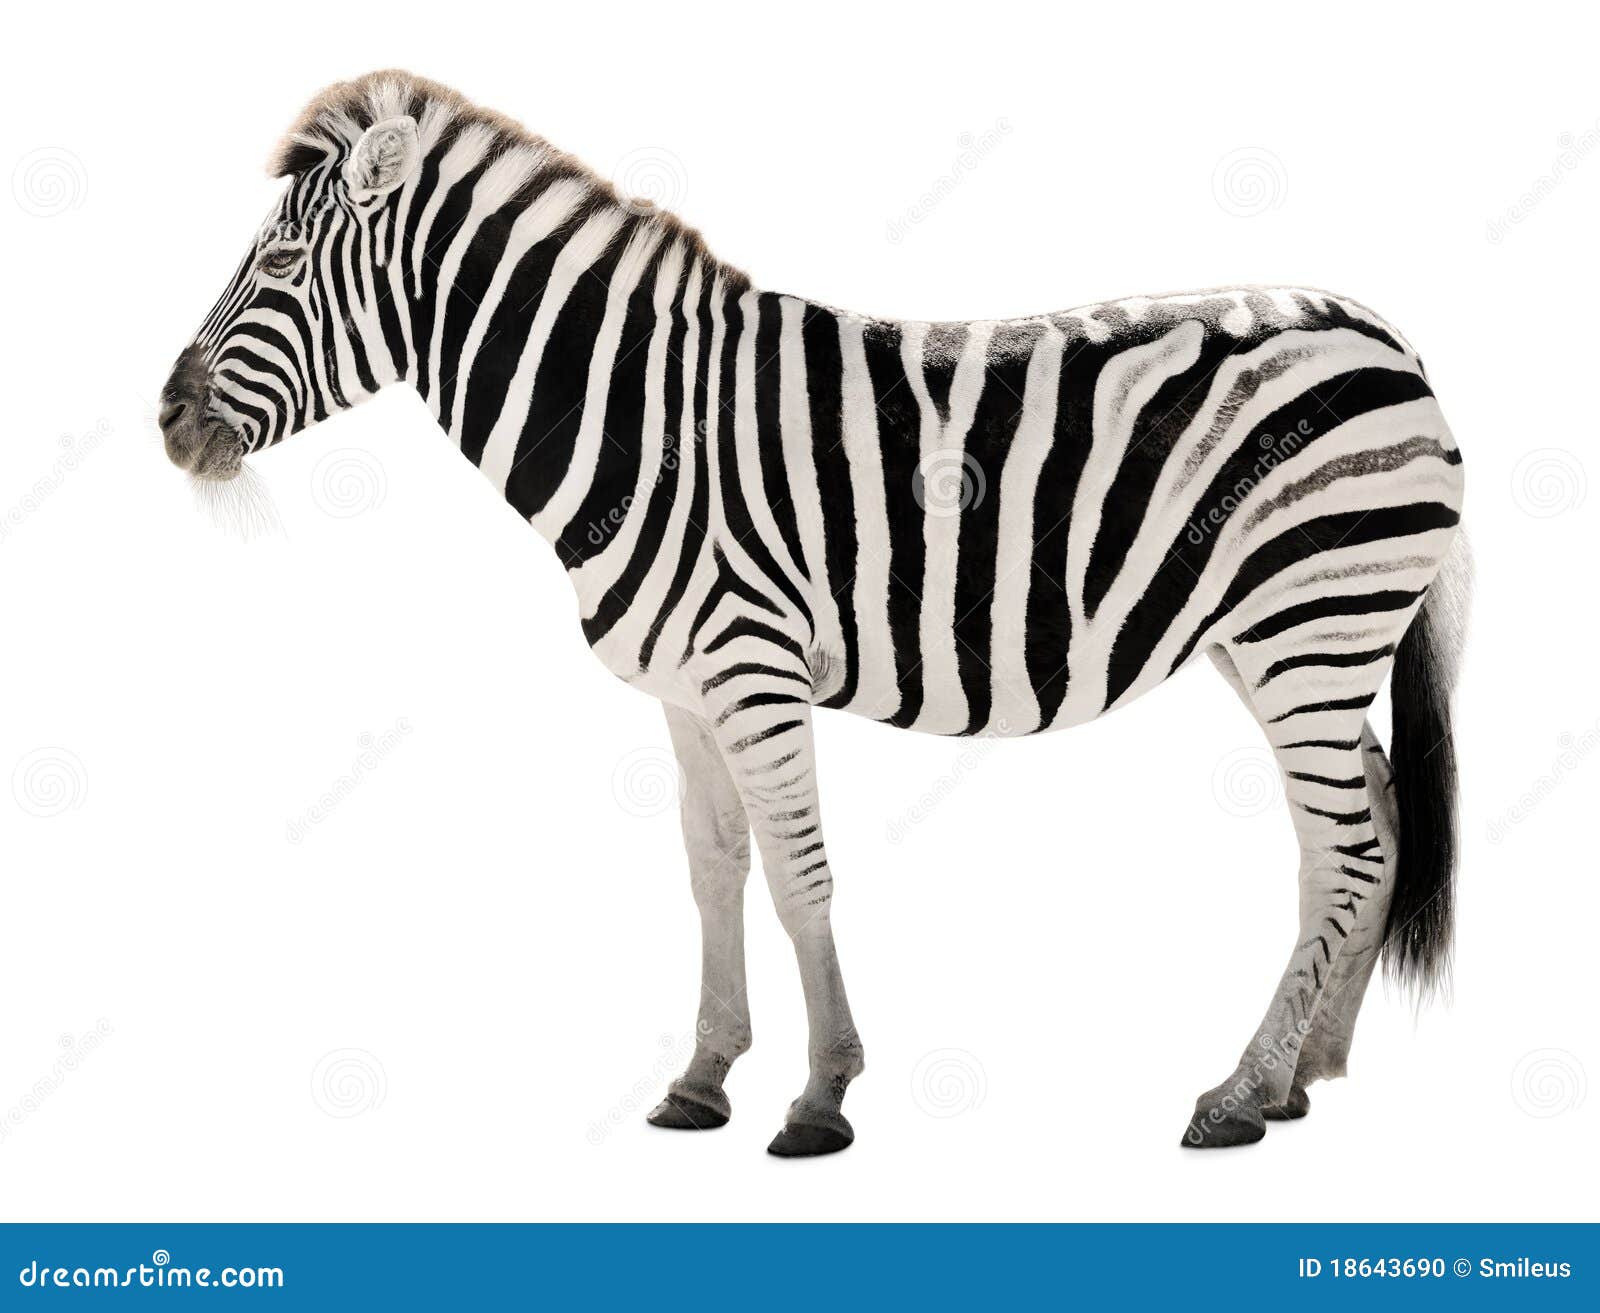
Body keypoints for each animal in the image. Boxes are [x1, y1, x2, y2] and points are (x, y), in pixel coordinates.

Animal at [160, 71, 1468, 1155]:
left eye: (278, 270)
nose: (166, 420)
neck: (644, 423)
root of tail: (1392, 339)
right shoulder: (684, 689)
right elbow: (711, 866)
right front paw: (701, 1078)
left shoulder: (753, 670)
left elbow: (798, 876)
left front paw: (820, 1094)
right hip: (1275, 632)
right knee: (1372, 821)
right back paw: (1306, 1070)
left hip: (1314, 620)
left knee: (1346, 846)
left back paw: (1239, 1093)